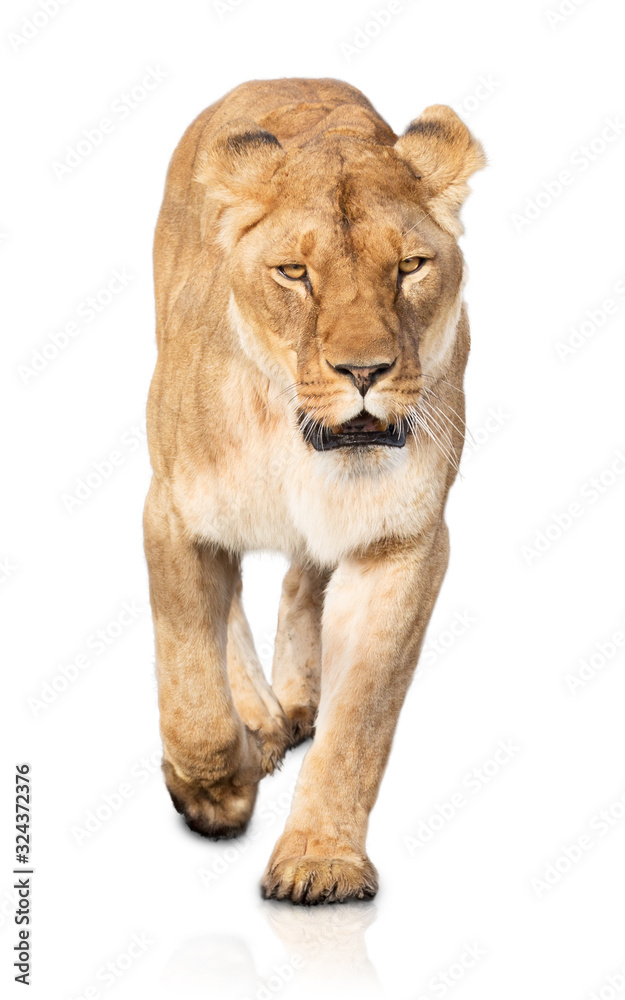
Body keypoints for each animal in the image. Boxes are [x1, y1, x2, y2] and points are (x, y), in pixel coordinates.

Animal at [144, 77, 485, 904]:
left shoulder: (402, 541)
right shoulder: (171, 511)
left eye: (410, 266)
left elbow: (360, 720)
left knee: (301, 577)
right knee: (230, 605)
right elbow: (192, 687)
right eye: (294, 274)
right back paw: (262, 723)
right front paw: (214, 793)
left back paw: (295, 703)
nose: (363, 371)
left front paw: (320, 860)